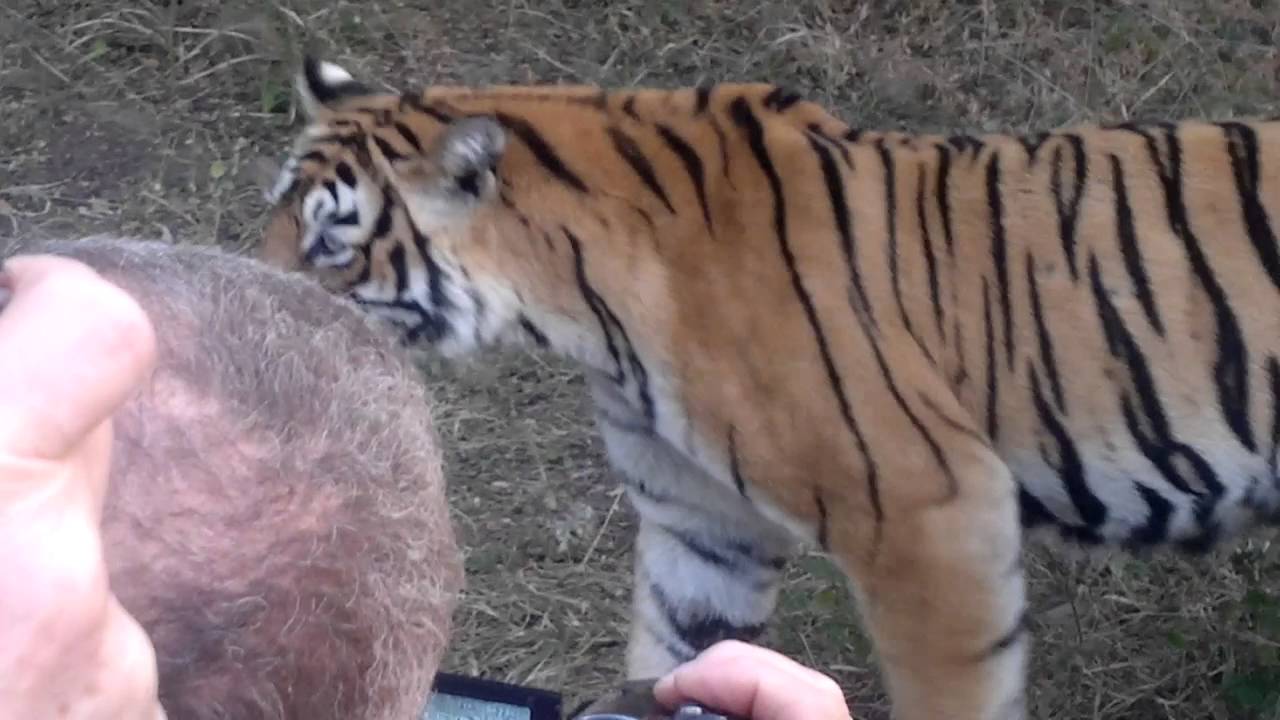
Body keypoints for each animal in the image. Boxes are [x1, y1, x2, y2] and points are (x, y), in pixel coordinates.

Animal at [254, 56, 1280, 720]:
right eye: (274, 211)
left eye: (332, 240)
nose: (245, 289)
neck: (583, 309)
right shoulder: (702, 523)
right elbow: (681, 646)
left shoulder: (934, 511)